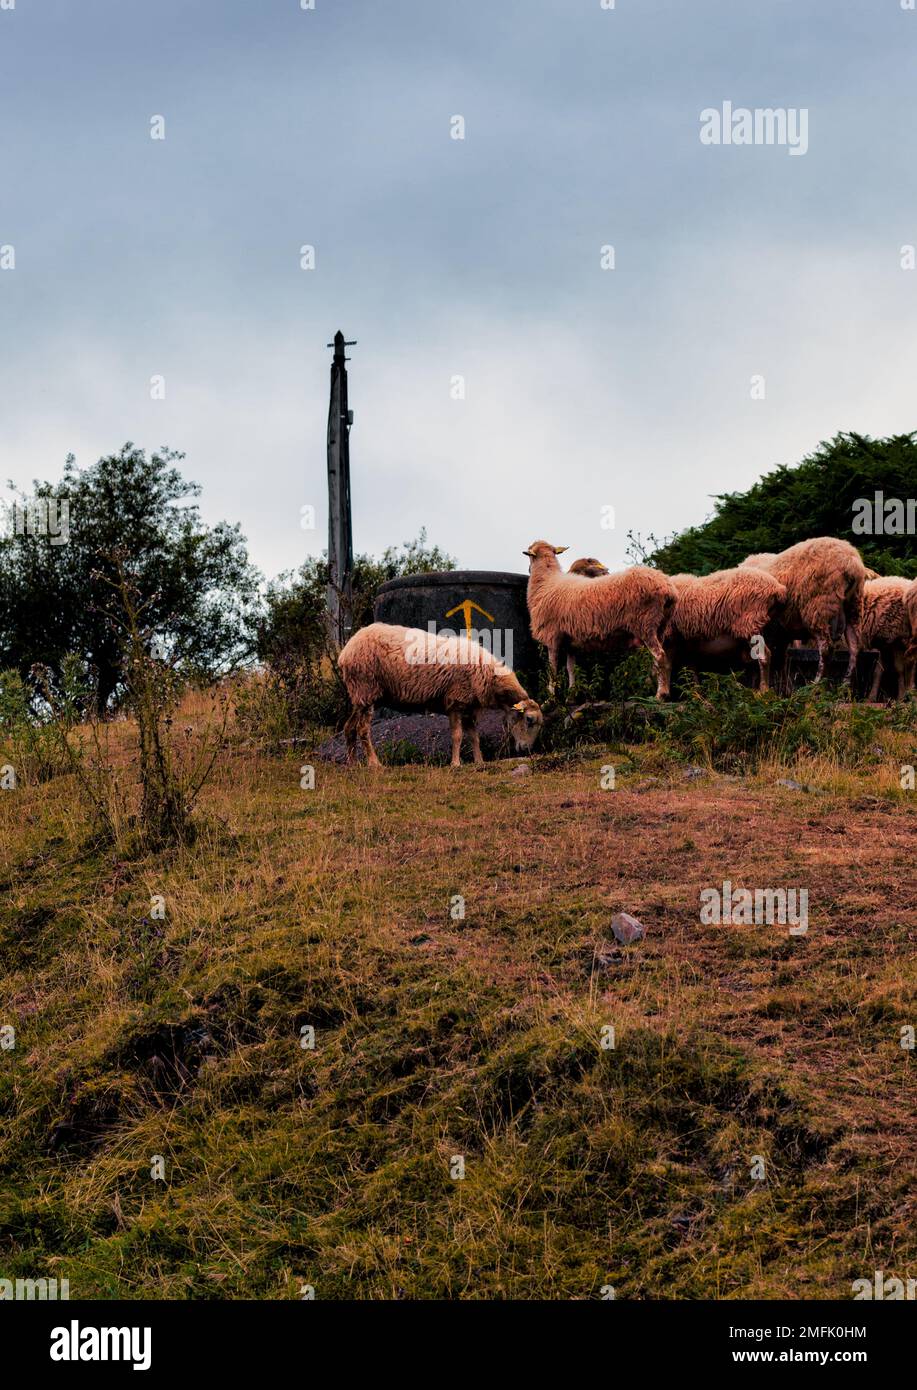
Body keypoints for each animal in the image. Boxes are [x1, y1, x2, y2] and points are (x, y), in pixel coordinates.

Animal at [337, 621, 543, 768]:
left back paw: (353, 764)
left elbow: (474, 736)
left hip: (360, 695)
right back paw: (374, 763)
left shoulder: (469, 707)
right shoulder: (456, 702)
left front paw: (479, 761)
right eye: (529, 720)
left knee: (349, 727)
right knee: (363, 729)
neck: (489, 677)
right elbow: (457, 735)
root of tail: (345, 651)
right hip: (366, 688)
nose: (527, 750)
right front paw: (456, 764)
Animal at [524, 540, 678, 698]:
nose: (529, 569)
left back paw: (659, 694)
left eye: (529, 554)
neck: (546, 582)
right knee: (658, 659)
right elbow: (570, 668)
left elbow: (552, 669)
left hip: (645, 624)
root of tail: (667, 587)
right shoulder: (570, 641)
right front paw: (572, 694)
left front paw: (550, 697)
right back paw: (651, 688)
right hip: (660, 626)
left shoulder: (552, 636)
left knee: (659, 656)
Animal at [739, 537, 868, 685]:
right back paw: (845, 683)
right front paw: (782, 684)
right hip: (853, 608)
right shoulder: (781, 632)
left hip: (818, 609)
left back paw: (817, 683)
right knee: (854, 648)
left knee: (826, 649)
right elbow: (781, 660)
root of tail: (851, 562)